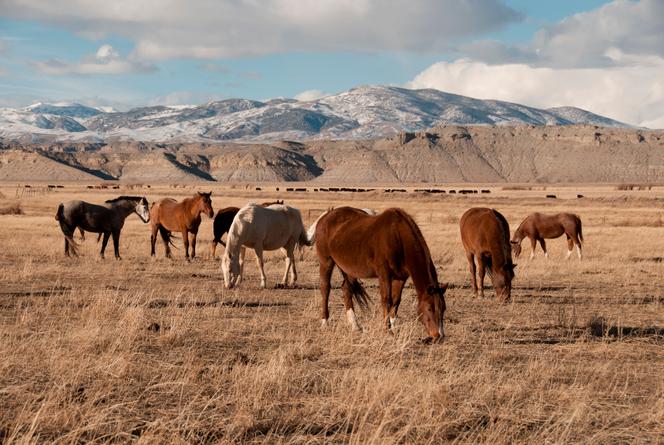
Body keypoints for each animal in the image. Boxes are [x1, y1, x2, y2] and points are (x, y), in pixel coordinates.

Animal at [311, 207, 447, 341]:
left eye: (443, 308)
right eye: (429, 308)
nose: (438, 336)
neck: (398, 237)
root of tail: (326, 215)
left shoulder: (400, 277)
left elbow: (396, 301)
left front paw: (393, 329)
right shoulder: (384, 274)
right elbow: (386, 300)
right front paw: (387, 330)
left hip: (350, 268)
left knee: (346, 289)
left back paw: (355, 325)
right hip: (326, 261)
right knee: (325, 288)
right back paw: (325, 322)